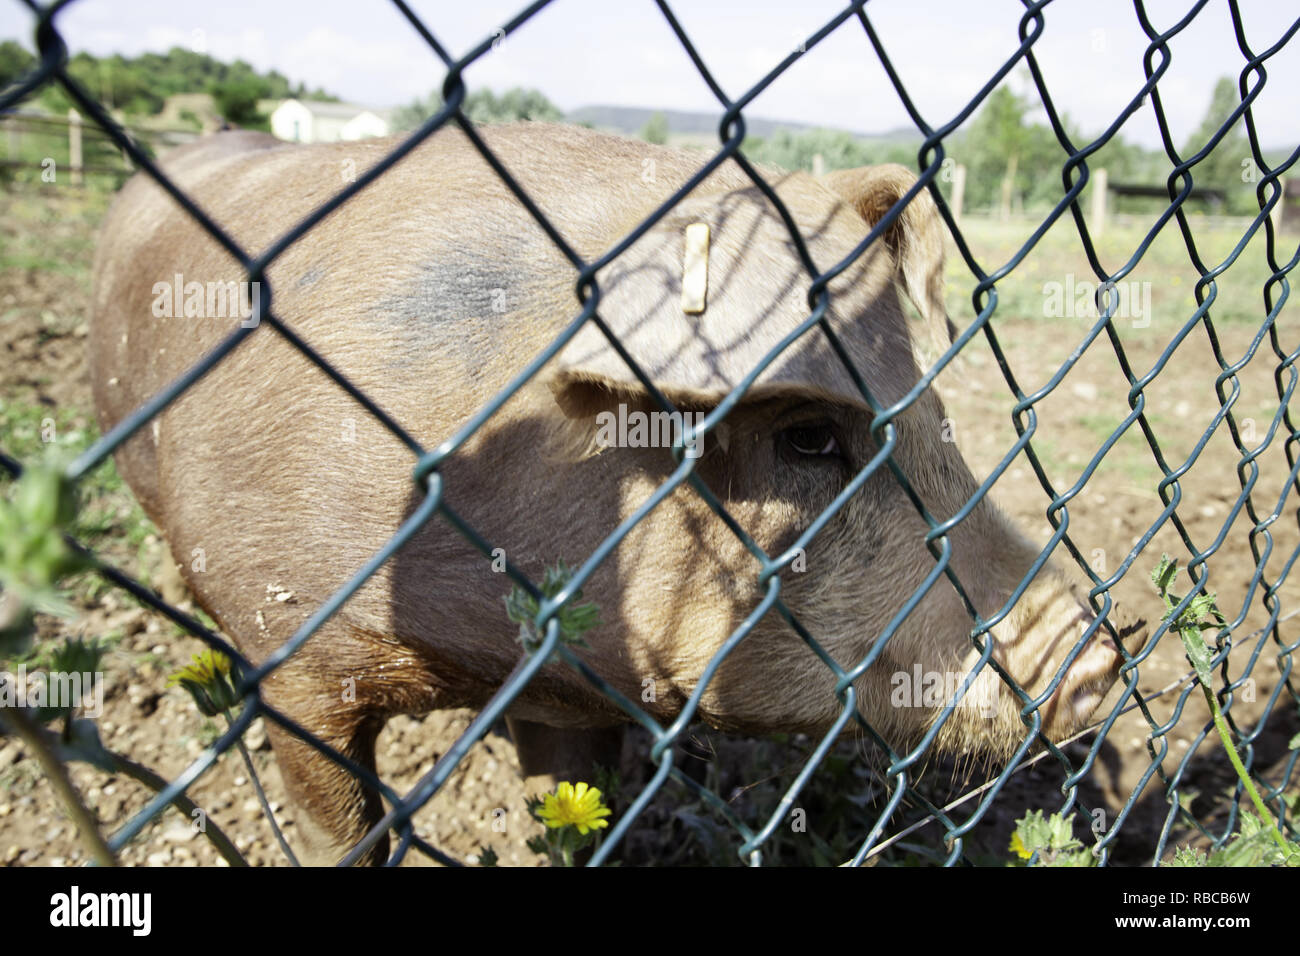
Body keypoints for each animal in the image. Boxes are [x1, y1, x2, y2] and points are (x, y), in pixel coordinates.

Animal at [88, 123, 1132, 864]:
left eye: (932, 407)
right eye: (808, 434)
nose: (1103, 653)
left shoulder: (571, 691)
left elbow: (565, 805)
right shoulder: (294, 658)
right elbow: (342, 829)